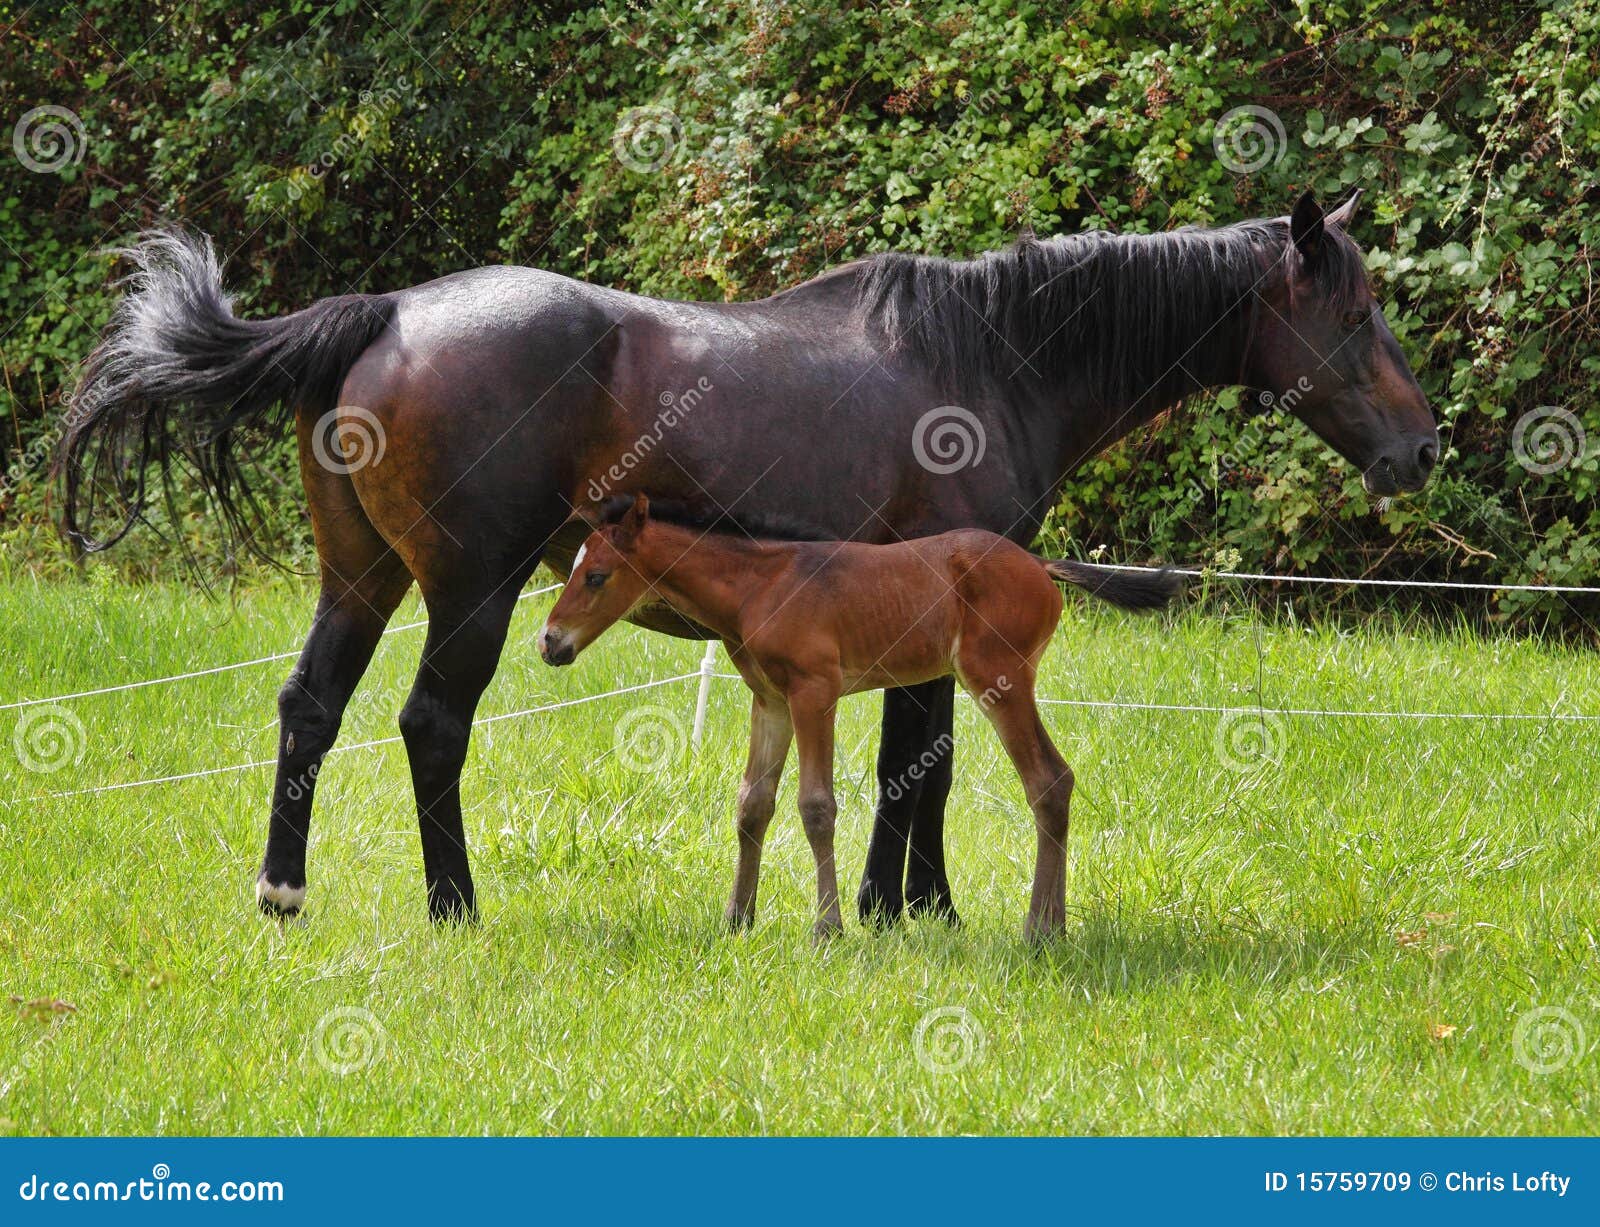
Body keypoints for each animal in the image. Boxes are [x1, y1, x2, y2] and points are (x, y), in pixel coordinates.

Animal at [539, 493, 1182, 941]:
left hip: (1000, 681)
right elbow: (752, 805)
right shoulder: (769, 700)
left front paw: (828, 928)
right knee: (1056, 780)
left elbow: (816, 806)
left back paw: (1039, 930)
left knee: (1047, 780)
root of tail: (1039, 565)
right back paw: (1055, 924)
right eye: (572, 569)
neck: (760, 585)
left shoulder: (814, 693)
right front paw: (737, 918)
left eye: (596, 576)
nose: (549, 642)